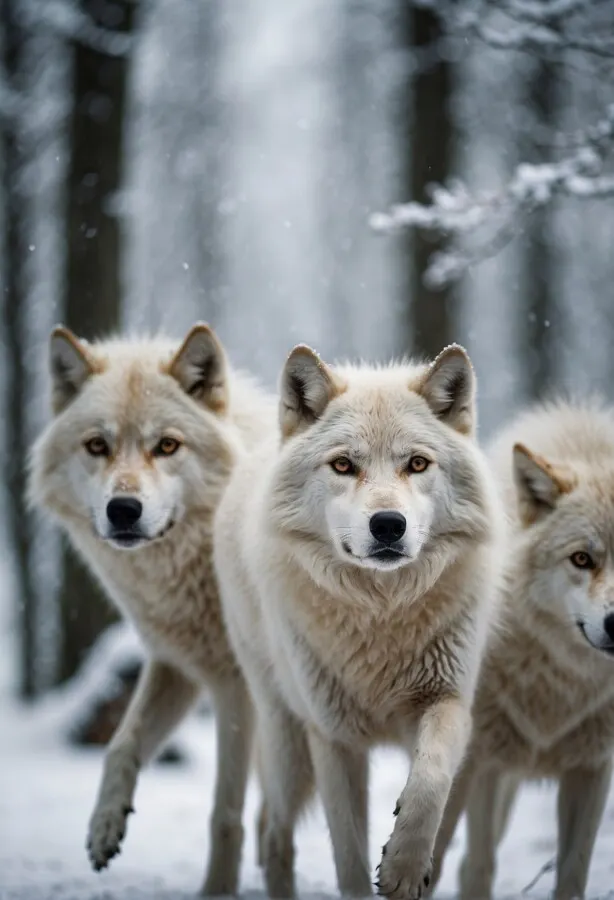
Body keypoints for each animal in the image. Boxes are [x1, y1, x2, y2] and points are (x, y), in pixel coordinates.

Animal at [28, 323, 276, 895]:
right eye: (97, 445)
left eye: (166, 445)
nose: (123, 510)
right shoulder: (177, 667)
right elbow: (121, 744)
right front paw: (104, 828)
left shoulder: (236, 687)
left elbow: (225, 813)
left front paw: (217, 889)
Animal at [213, 343, 504, 899]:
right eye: (344, 464)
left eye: (417, 463)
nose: (388, 524)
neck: (379, 613)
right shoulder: (334, 737)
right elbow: (347, 854)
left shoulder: (449, 701)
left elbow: (429, 782)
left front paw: (404, 868)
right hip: (286, 738)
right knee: (273, 832)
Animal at [429, 399, 614, 900]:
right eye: (582, 559)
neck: (561, 684)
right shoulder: (477, 763)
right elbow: (469, 865)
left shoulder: (592, 770)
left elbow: (572, 874)